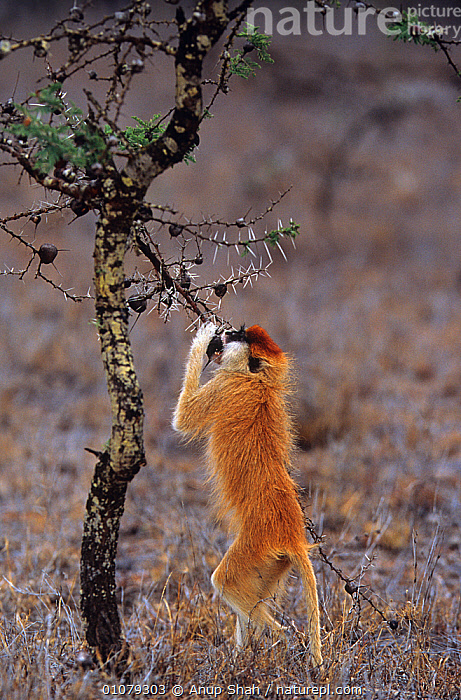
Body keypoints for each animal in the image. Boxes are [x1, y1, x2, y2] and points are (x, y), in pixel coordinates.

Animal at [173, 323, 323, 669]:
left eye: (239, 337)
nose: (226, 332)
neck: (258, 380)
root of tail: (291, 536)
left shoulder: (224, 386)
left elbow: (183, 419)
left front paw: (202, 338)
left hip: (254, 550)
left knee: (225, 584)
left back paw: (282, 638)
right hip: (270, 563)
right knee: (249, 596)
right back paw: (242, 656)